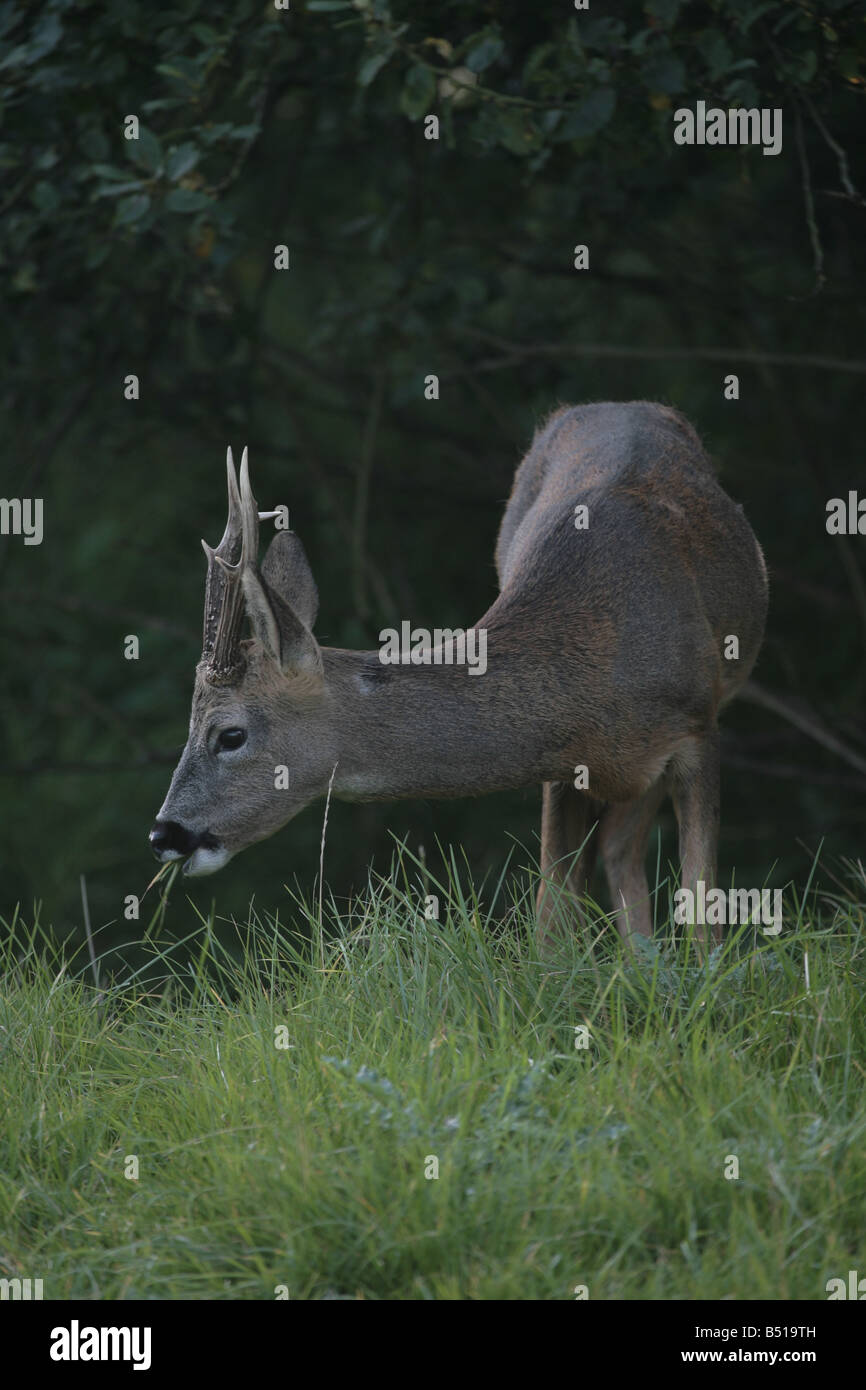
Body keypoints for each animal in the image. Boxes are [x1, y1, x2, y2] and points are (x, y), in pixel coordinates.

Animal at [150, 401, 768, 948]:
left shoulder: (699, 729)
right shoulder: (566, 766)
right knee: (619, 850)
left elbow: (703, 909)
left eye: (230, 734)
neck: (598, 682)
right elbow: (551, 926)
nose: (163, 832)